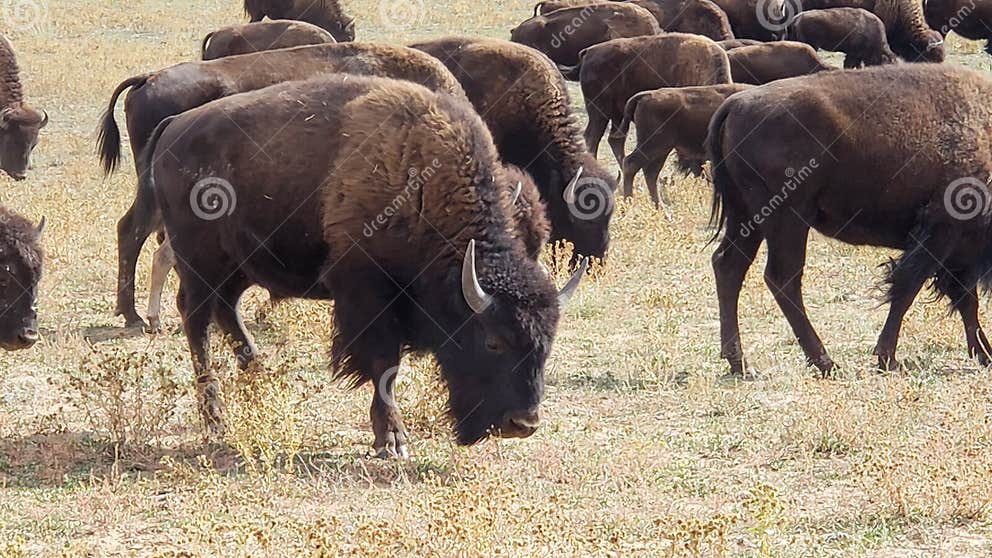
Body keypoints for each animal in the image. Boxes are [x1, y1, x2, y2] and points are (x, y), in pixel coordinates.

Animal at [146, 74, 586, 455]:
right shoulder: (368, 294)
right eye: (493, 341)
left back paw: (261, 377)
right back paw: (215, 418)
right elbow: (384, 364)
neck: (423, 183)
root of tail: (172, 128)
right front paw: (392, 439)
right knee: (197, 321)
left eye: (547, 344)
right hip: (200, 262)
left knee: (227, 311)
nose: (521, 424)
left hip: (238, 266)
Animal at [708, 65, 992, 376]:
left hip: (747, 217)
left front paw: (984, 353)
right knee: (782, 278)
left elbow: (966, 300)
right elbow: (908, 289)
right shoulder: (940, 233)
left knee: (729, 265)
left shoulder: (958, 251)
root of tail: (735, 104)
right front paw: (887, 358)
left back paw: (740, 364)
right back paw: (825, 362)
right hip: (787, 218)